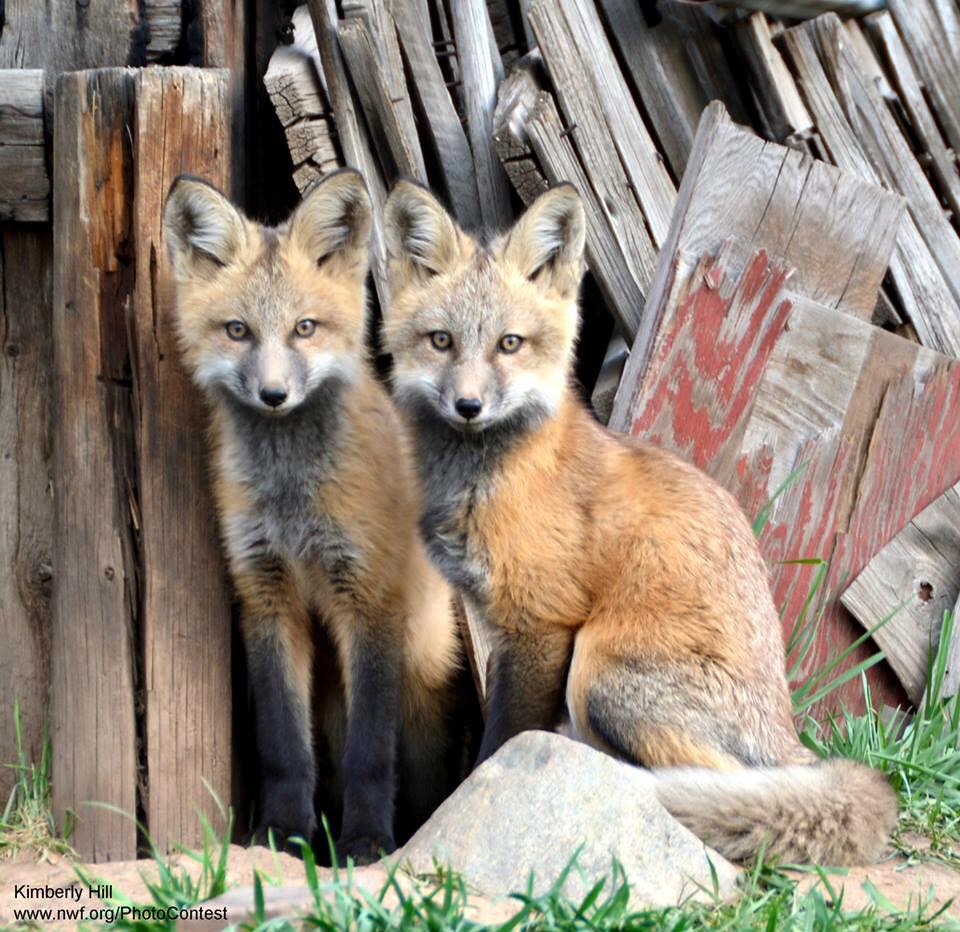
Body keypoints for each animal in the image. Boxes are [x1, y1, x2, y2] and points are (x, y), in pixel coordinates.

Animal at [162, 169, 476, 862]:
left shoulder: (370, 602)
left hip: (421, 662)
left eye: (305, 328)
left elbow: (371, 754)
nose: (274, 394)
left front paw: (366, 842)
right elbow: (283, 745)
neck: (294, 501)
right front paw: (283, 833)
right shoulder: (264, 596)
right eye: (238, 331)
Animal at [378, 179, 898, 866]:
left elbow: (502, 743)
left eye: (509, 344)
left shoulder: (543, 625)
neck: (484, 480)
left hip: (600, 672)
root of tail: (786, 728)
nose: (468, 405)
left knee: (725, 783)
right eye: (441, 341)